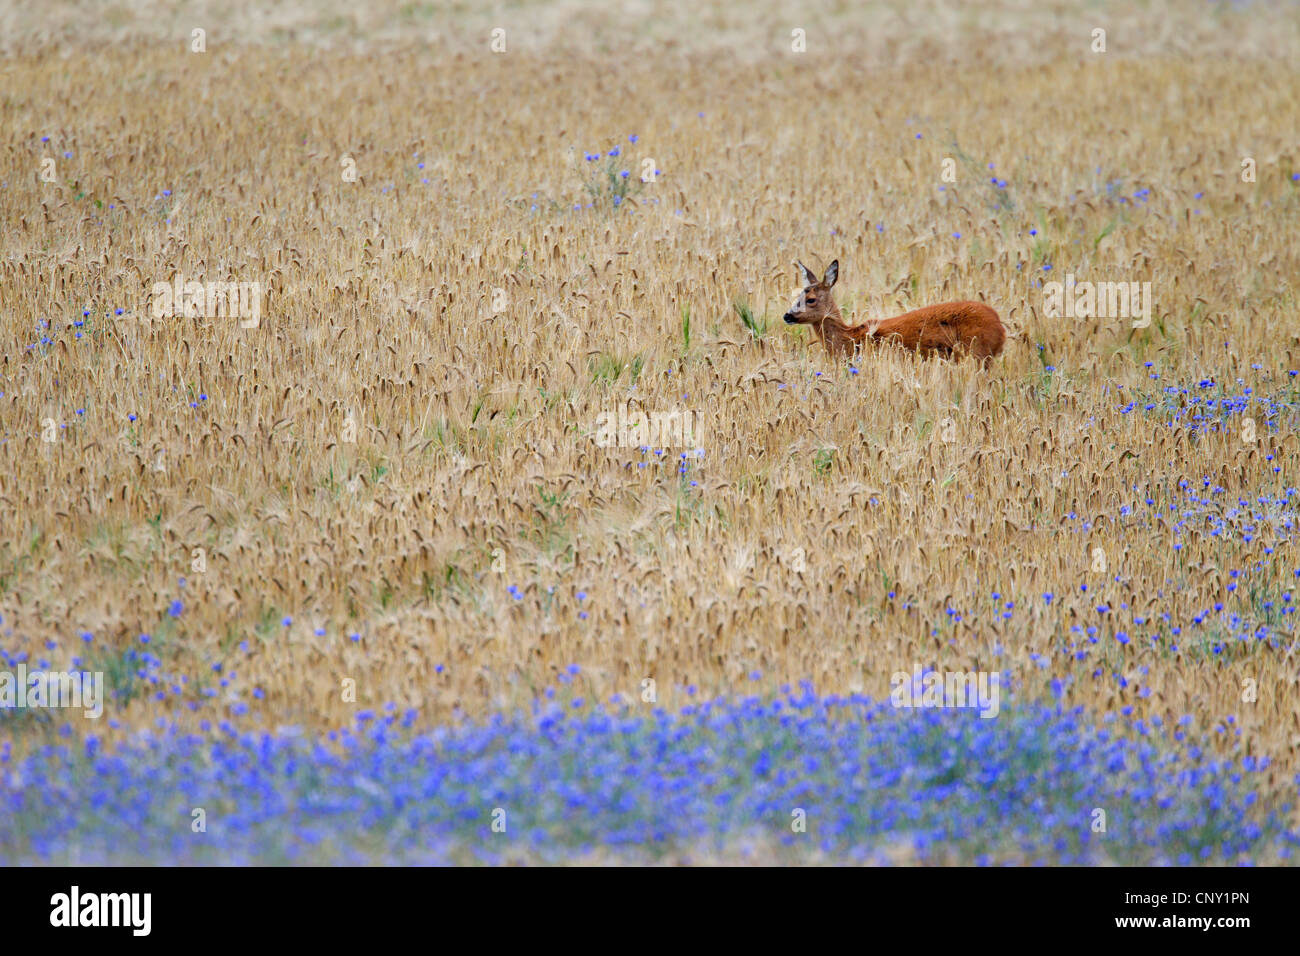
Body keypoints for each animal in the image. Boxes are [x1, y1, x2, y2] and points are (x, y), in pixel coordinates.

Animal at [782, 259, 1005, 363]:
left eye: (810, 299)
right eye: (797, 296)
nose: (787, 315)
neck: (849, 338)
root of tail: (1000, 327)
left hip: (977, 352)